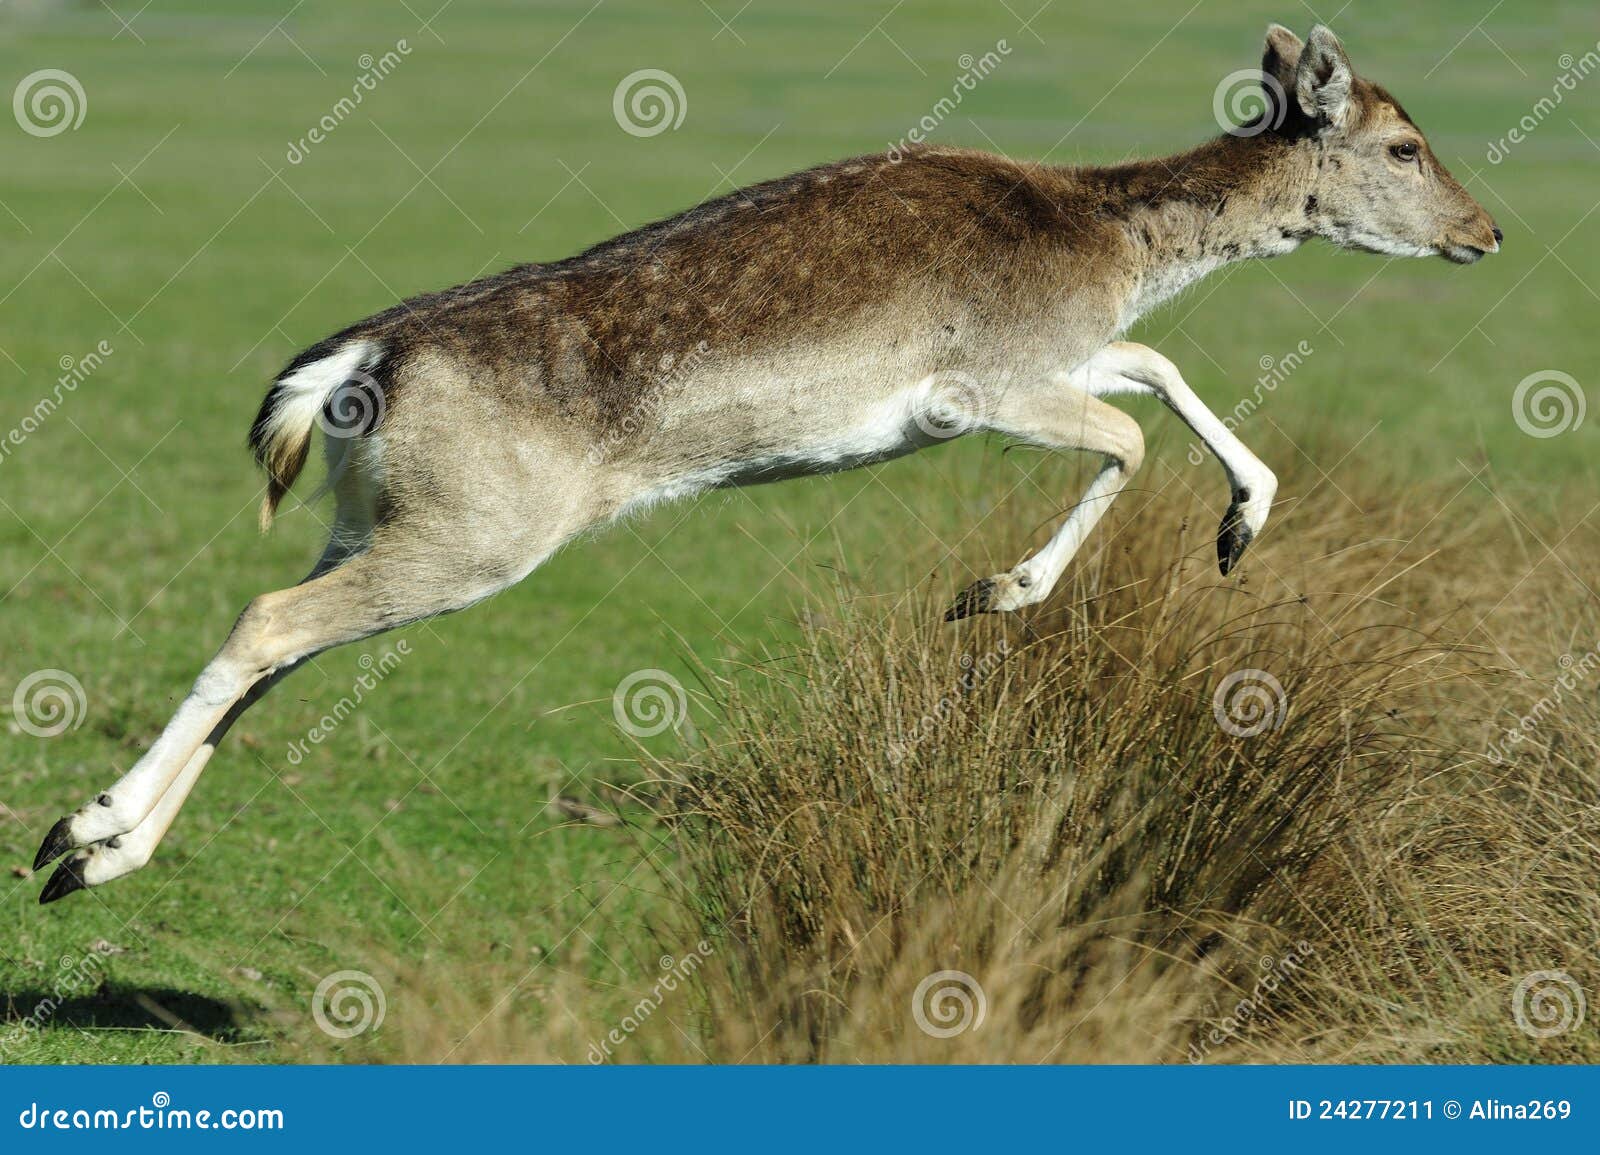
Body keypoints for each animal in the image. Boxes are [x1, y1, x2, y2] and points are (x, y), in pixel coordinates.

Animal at [31, 23, 1500, 902]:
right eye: (1400, 142)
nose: (1485, 231)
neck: (1106, 243)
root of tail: (361, 362)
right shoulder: (983, 383)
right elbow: (1134, 423)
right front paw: (992, 593)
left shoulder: (1055, 361)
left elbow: (1156, 371)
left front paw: (1240, 526)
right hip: (474, 537)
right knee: (265, 622)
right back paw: (77, 832)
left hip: (378, 520)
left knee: (275, 654)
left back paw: (85, 857)